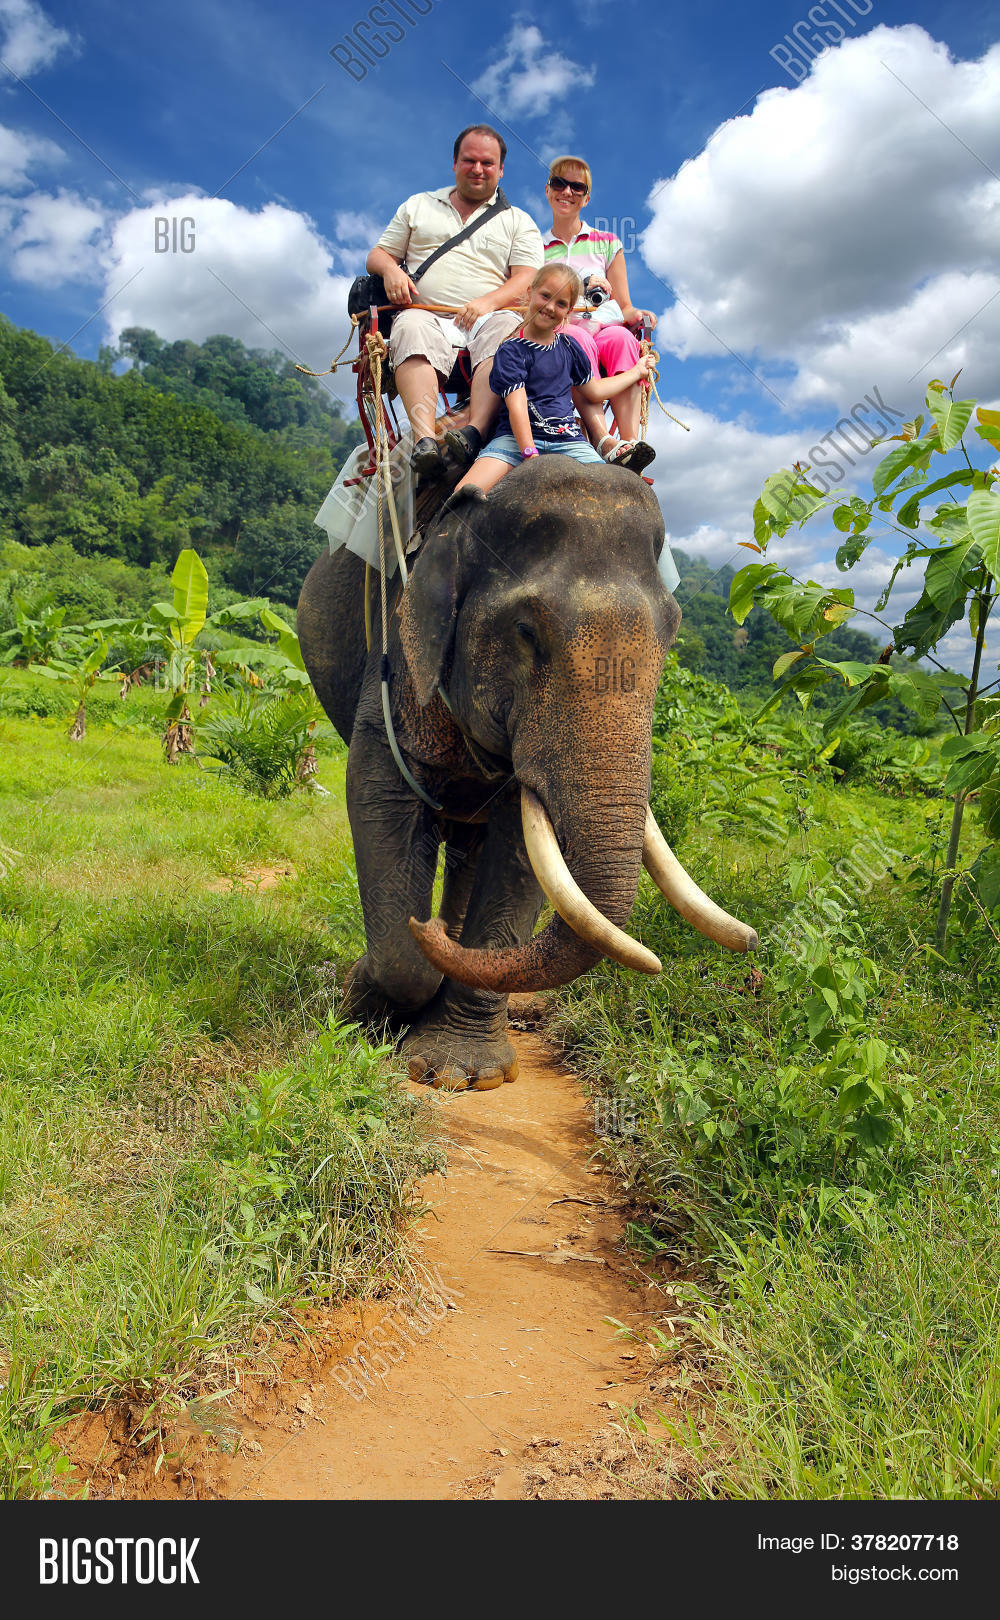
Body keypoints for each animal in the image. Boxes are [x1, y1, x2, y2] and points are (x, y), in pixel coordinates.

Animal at [297, 455, 757, 1092]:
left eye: (671, 638)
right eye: (527, 632)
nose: (754, 943)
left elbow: (520, 849)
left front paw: (463, 1074)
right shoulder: (399, 657)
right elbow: (380, 794)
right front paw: (363, 1000)